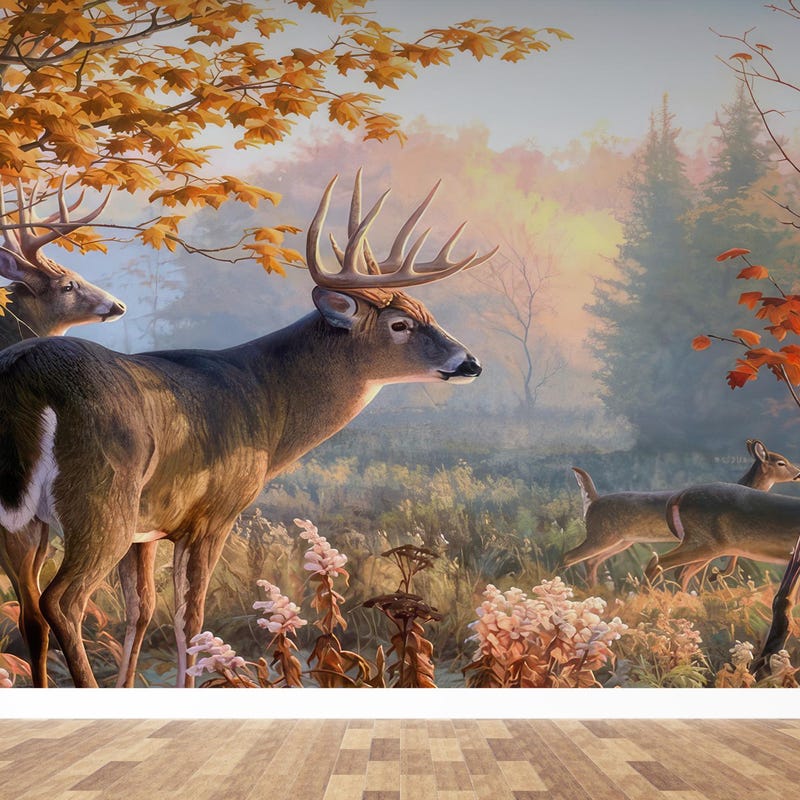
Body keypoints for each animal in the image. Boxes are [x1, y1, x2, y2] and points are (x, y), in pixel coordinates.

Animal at [0, 171, 494, 688]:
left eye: (429, 313)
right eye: (400, 325)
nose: (471, 362)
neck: (265, 402)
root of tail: (24, 374)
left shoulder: (148, 529)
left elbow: (142, 610)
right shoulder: (213, 513)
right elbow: (189, 620)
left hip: (24, 520)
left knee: (30, 611)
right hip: (102, 496)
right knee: (63, 602)